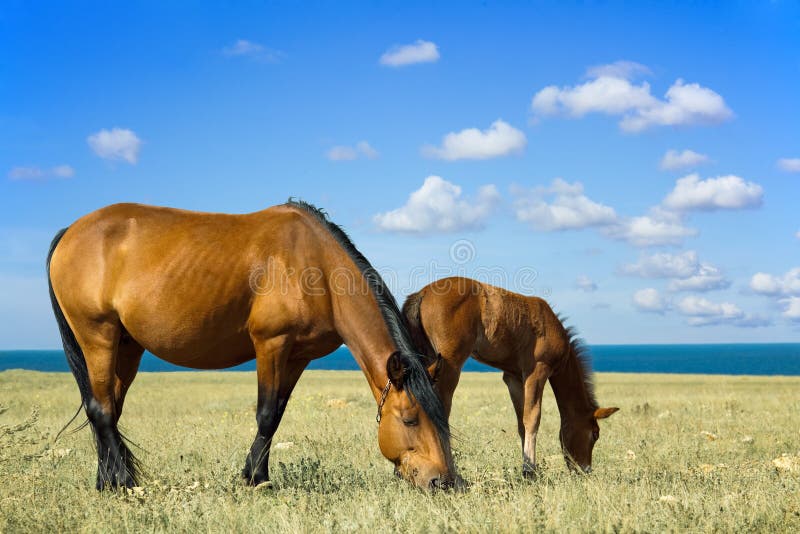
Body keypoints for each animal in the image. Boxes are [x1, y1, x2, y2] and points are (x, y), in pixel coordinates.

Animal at [47, 200, 453, 490]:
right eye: (410, 419)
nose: (444, 481)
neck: (315, 266)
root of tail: (71, 231)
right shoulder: (271, 345)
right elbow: (266, 413)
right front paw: (255, 480)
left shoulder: (297, 357)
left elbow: (277, 415)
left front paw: (258, 475)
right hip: (97, 336)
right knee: (101, 409)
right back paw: (123, 484)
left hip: (127, 345)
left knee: (109, 410)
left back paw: (105, 482)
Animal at [403, 277, 618, 477]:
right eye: (595, 434)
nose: (585, 470)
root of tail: (422, 293)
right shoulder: (537, 371)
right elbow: (533, 418)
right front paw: (530, 470)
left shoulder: (514, 378)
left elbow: (521, 421)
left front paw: (526, 467)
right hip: (450, 365)